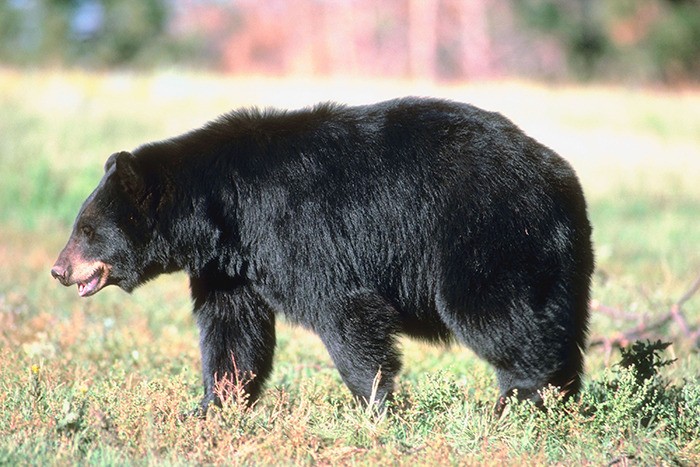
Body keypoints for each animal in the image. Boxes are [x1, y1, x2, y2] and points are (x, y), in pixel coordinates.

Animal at [51, 97, 594, 415]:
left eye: (87, 229)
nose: (59, 269)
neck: (223, 211)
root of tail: (561, 175)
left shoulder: (299, 229)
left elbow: (344, 309)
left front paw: (375, 407)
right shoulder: (229, 267)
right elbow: (232, 330)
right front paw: (212, 407)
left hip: (488, 233)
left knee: (497, 315)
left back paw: (520, 401)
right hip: (559, 258)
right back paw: (561, 399)